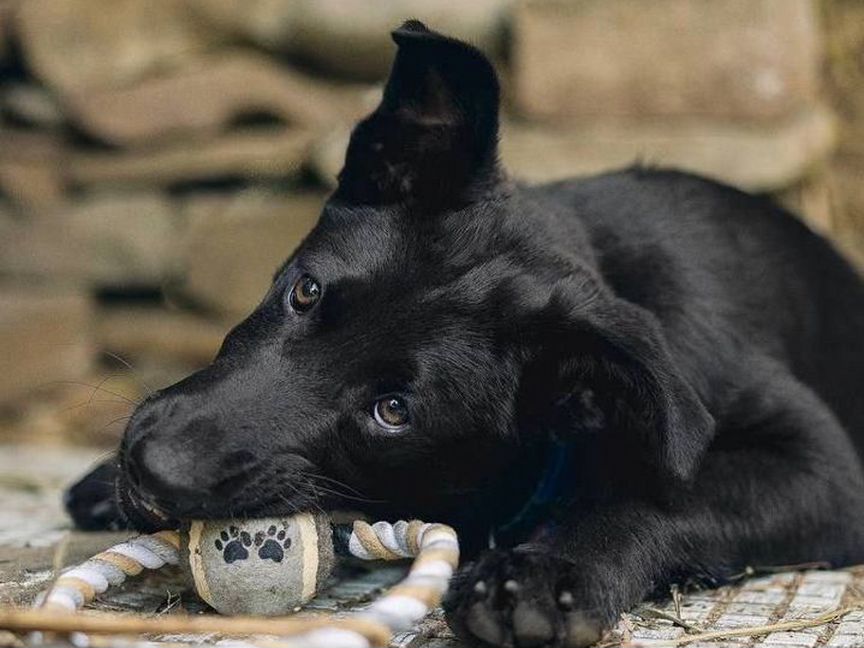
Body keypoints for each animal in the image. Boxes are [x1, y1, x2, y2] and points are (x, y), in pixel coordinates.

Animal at [66, 20, 864, 648]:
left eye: (392, 411)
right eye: (305, 291)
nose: (150, 469)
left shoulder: (822, 469)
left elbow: (661, 497)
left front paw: (544, 573)